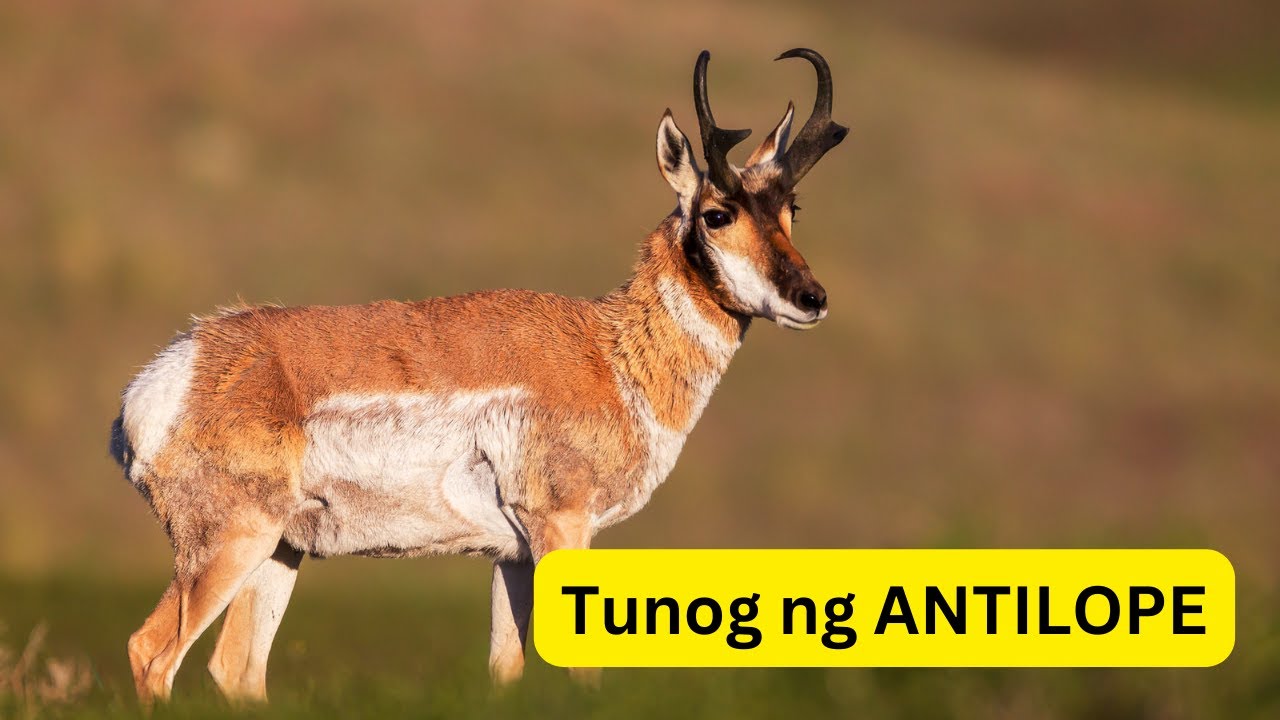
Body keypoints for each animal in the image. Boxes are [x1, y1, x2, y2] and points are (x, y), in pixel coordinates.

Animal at [110, 48, 847, 703]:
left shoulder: (511, 555)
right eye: (718, 215)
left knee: (235, 670)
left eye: (792, 209)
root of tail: (169, 374)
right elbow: (582, 669)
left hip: (280, 550)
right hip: (232, 541)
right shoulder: (562, 525)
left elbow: (505, 671)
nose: (812, 298)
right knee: (151, 651)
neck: (608, 353)